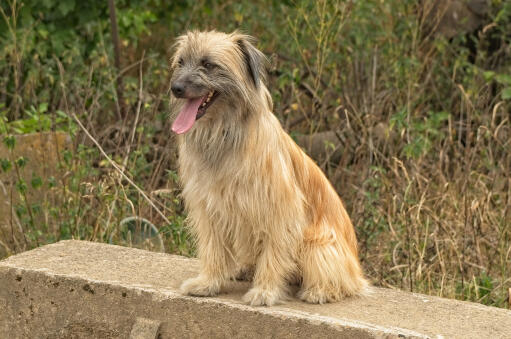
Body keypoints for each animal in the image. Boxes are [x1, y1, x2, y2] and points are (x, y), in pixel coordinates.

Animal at [172, 30, 368, 306]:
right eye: (180, 62)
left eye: (208, 64)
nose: (176, 88)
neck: (224, 133)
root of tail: (357, 270)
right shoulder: (209, 207)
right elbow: (213, 248)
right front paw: (208, 283)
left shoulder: (279, 209)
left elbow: (274, 253)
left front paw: (265, 291)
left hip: (316, 245)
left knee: (340, 280)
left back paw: (320, 290)